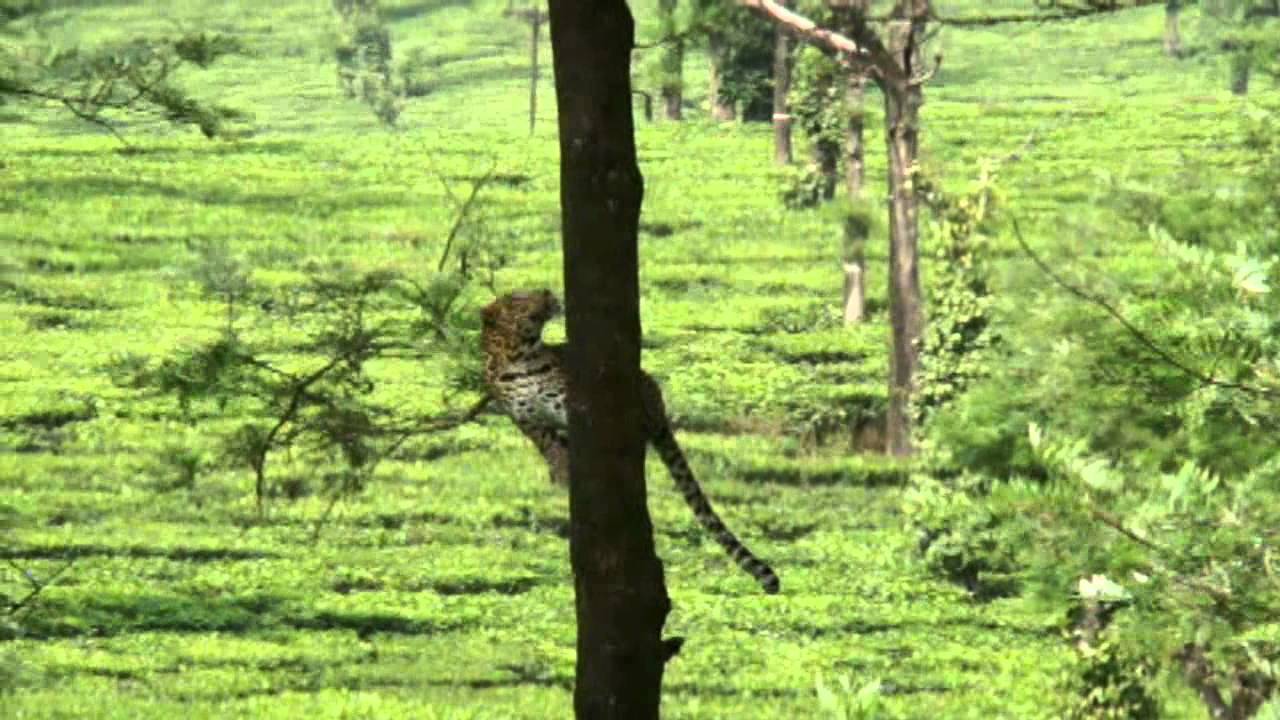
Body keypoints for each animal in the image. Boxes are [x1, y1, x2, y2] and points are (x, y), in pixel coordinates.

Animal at [481, 289, 780, 594]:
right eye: (518, 298)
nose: (547, 292)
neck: (520, 356)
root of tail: (661, 412)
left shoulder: (567, 397)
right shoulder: (524, 418)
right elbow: (546, 442)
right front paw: (559, 468)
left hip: (645, 393)